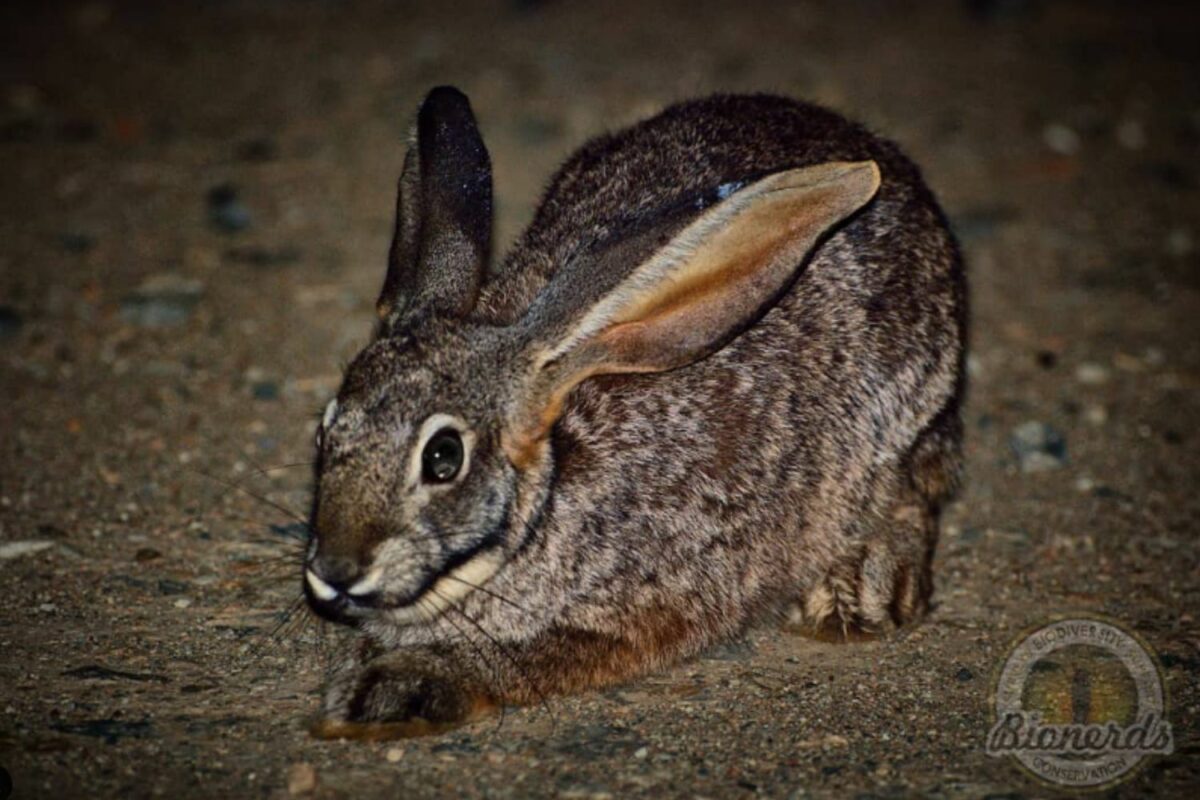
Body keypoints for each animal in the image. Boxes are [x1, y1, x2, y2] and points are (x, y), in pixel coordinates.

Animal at [303, 86, 966, 739]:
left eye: (444, 458)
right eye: (324, 433)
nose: (335, 569)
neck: (548, 494)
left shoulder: (655, 602)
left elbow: (524, 658)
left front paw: (397, 688)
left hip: (903, 419)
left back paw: (861, 589)